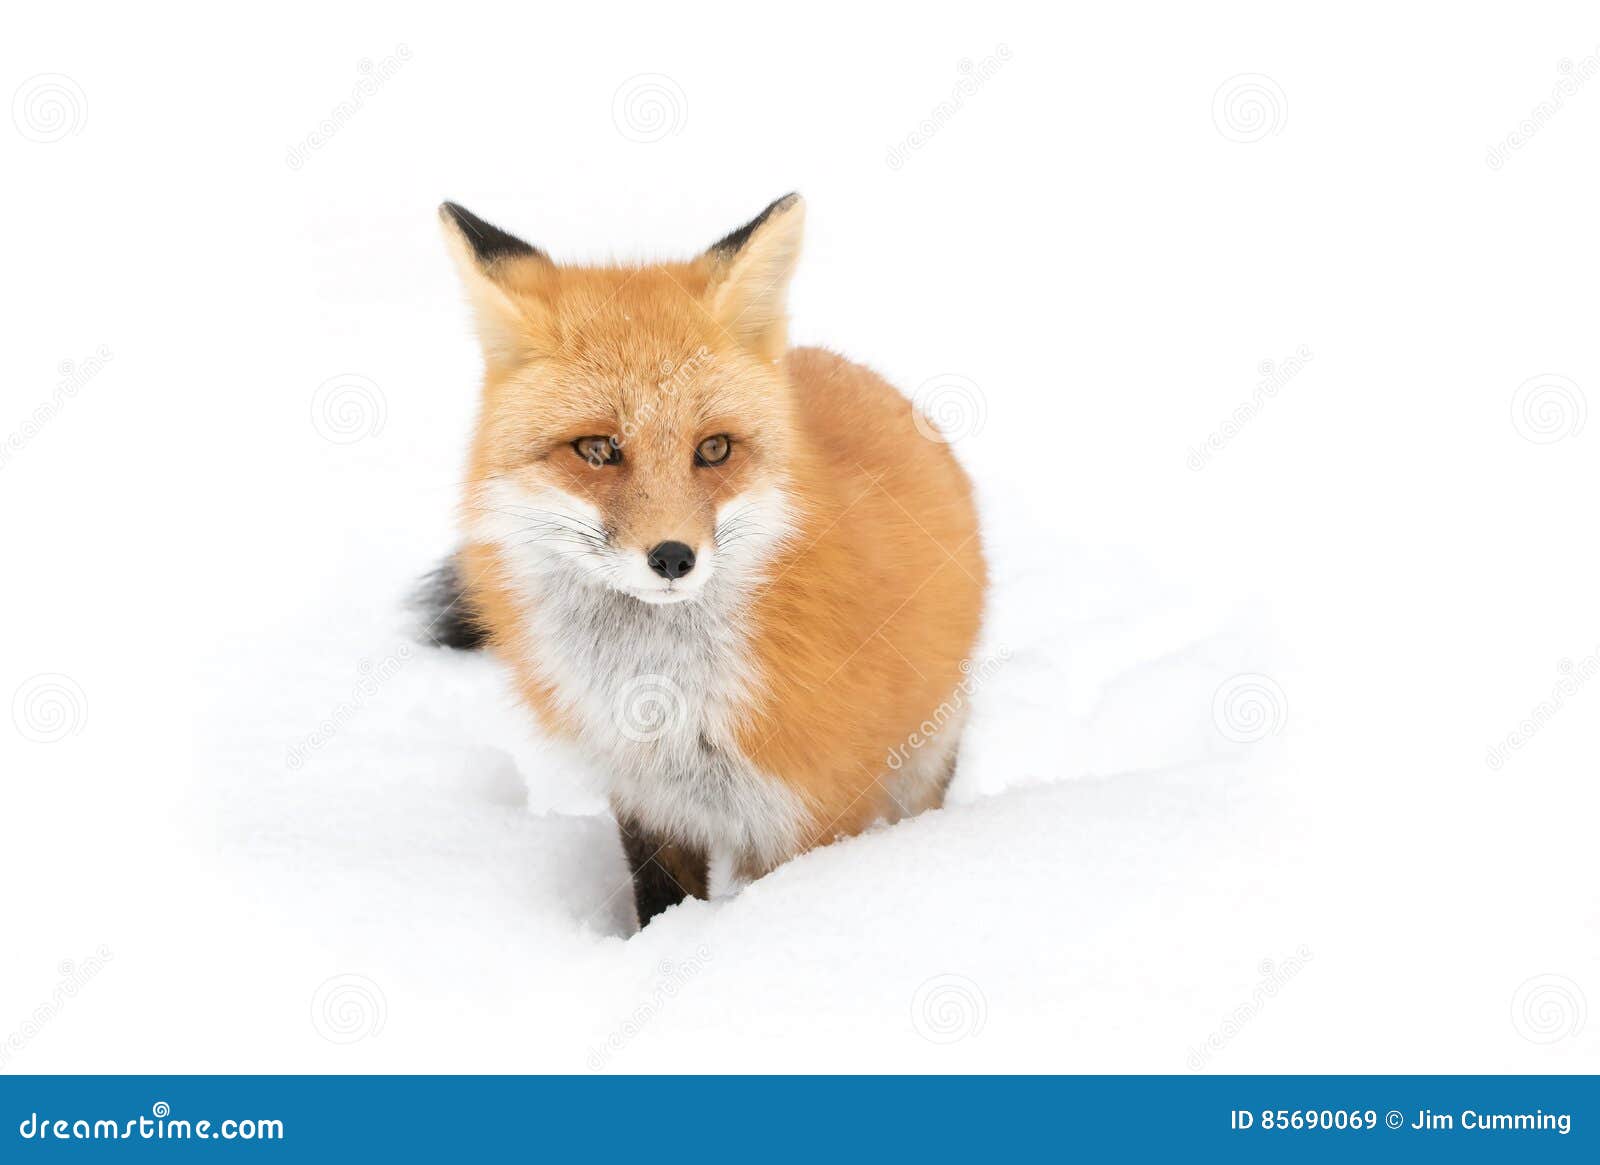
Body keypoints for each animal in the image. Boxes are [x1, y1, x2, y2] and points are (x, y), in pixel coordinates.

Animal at [424, 194, 986, 928]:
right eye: (598, 449)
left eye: (714, 449)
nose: (673, 557)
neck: (667, 698)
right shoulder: (649, 804)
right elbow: (660, 902)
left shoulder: (809, 810)